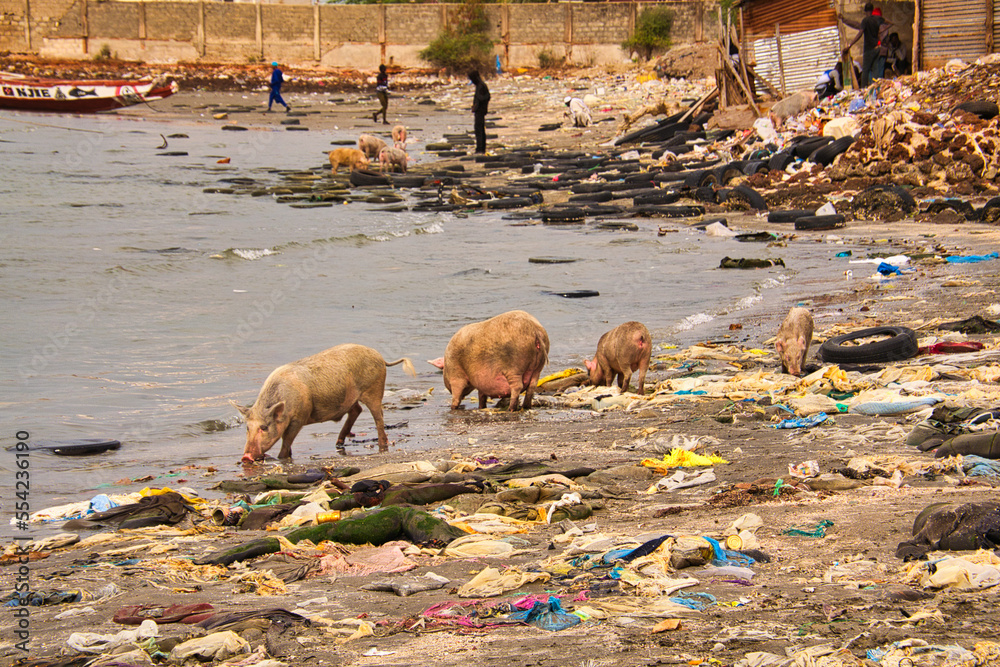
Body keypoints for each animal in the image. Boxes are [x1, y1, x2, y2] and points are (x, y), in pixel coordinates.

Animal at [231, 344, 416, 462]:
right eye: (247, 428)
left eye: (264, 428)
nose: (245, 456)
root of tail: (381, 358)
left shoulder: (299, 417)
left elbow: (287, 440)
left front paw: (281, 458)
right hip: (351, 398)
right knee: (356, 410)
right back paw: (338, 442)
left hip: (374, 389)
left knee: (378, 416)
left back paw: (382, 444)